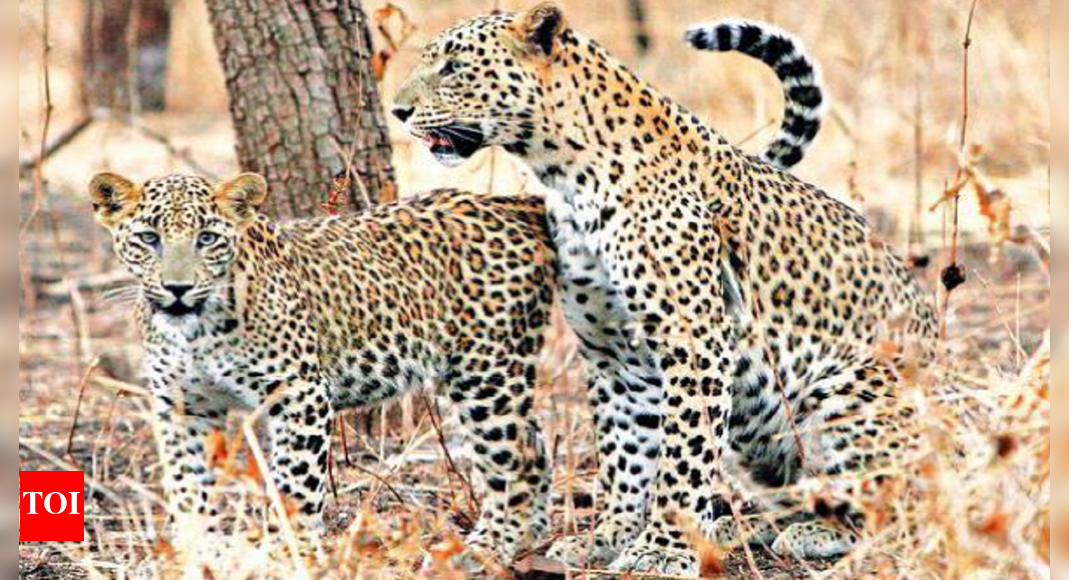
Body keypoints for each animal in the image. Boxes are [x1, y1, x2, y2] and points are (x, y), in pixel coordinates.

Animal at [88, 172, 559, 568]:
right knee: (535, 443)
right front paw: (191, 549)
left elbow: (294, 484)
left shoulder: (300, 394)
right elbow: (187, 483)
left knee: (516, 458)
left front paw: (283, 554)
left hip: (486, 371)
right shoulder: (184, 403)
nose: (178, 289)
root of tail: (508, 203)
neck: (195, 331)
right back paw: (532, 540)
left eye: (207, 238)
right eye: (149, 238)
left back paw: (487, 549)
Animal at [393, 4, 939, 576]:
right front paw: (607, 536)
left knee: (899, 505)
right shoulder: (615, 352)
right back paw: (745, 528)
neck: (564, 174)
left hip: (847, 394)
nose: (398, 112)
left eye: (453, 68)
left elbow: (681, 457)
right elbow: (623, 453)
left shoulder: (695, 343)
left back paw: (815, 534)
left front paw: (659, 549)